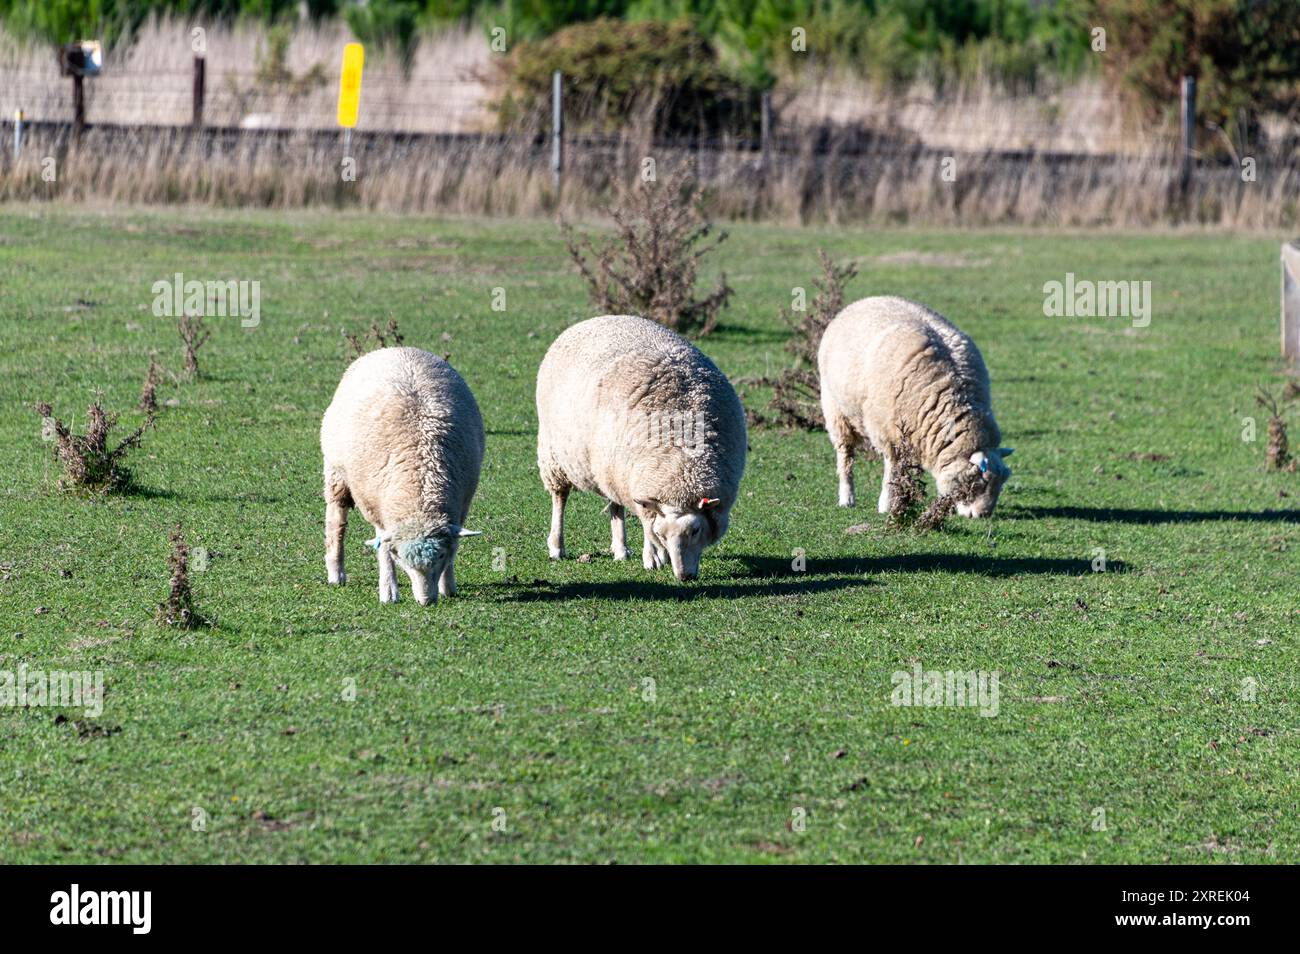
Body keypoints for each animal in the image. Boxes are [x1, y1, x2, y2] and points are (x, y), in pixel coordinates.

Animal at [320, 347, 484, 605]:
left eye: (440, 556)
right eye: (401, 558)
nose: (426, 601)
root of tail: (394, 349)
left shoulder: (461, 505)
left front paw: (448, 586)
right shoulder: (377, 509)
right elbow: (383, 548)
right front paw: (389, 590)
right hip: (336, 473)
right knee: (336, 521)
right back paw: (336, 573)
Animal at [536, 314, 746, 581]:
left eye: (695, 530)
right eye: (663, 534)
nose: (683, 576)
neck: (681, 464)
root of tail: (596, 318)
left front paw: (658, 556)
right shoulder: (644, 489)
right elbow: (648, 527)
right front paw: (653, 557)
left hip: (611, 468)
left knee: (615, 503)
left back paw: (621, 548)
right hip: (553, 453)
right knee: (559, 498)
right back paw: (557, 546)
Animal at [818, 296, 1012, 518]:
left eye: (1000, 484)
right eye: (975, 482)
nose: (983, 515)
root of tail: (867, 299)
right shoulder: (888, 434)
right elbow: (892, 470)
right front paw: (887, 504)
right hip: (835, 409)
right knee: (845, 456)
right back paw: (847, 497)